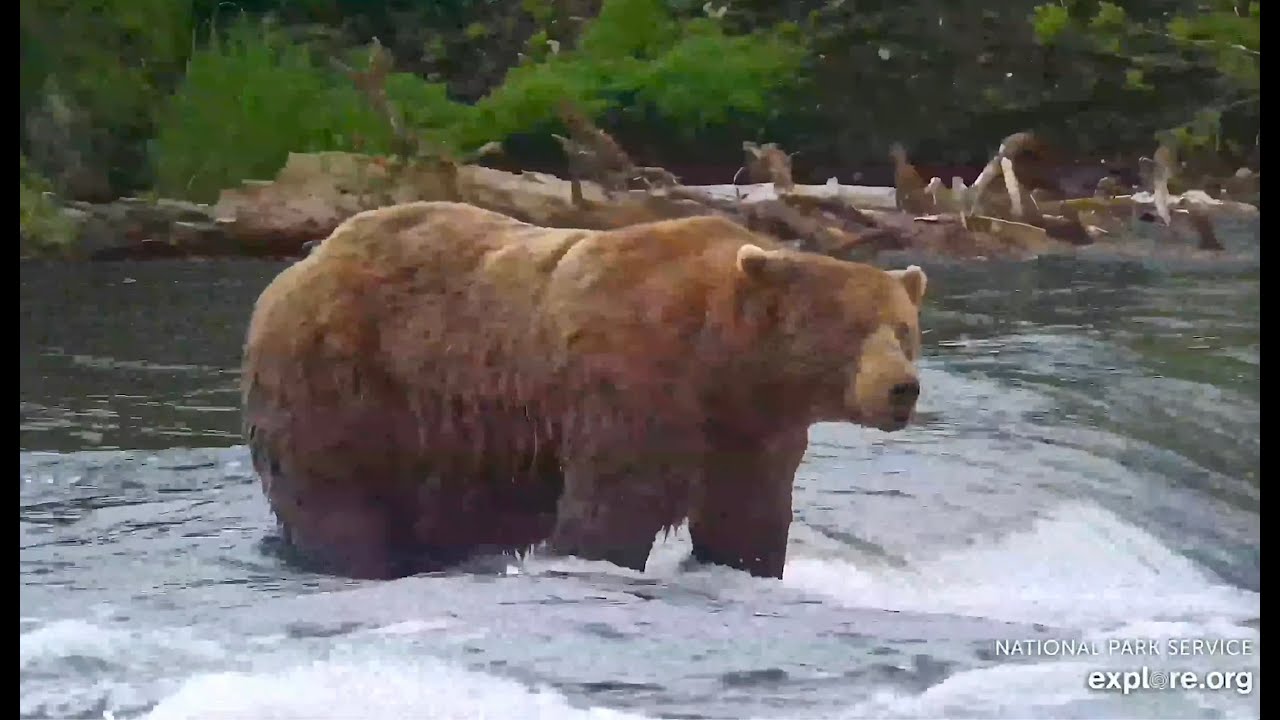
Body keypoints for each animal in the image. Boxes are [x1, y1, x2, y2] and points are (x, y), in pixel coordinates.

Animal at [241, 201, 927, 580]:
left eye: (903, 329)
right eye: (849, 328)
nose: (902, 388)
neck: (723, 362)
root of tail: (298, 266)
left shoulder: (752, 433)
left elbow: (745, 520)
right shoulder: (631, 385)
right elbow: (611, 510)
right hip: (341, 385)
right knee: (335, 500)